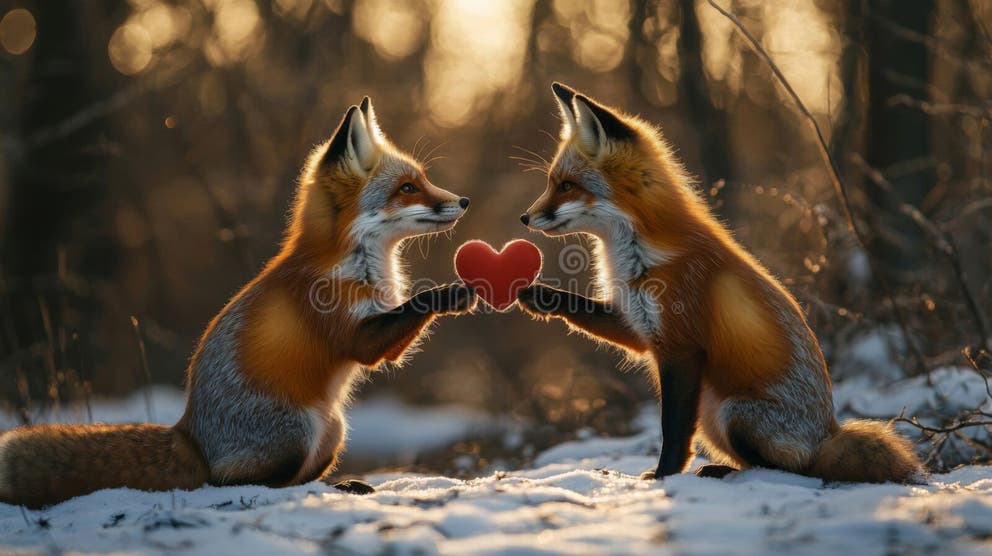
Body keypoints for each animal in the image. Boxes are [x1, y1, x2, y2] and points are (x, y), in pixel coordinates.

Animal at [0, 97, 476, 508]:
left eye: (422, 180)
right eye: (408, 187)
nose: (464, 200)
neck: (357, 263)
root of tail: (188, 434)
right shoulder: (350, 332)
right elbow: (409, 309)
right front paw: (451, 293)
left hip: (333, 430)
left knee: (297, 476)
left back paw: (341, 485)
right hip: (299, 431)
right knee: (233, 482)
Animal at [517, 82, 925, 484]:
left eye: (566, 186)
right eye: (552, 183)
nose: (525, 217)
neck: (635, 253)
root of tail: (828, 434)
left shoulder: (681, 346)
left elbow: (673, 430)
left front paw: (664, 476)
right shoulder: (642, 325)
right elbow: (584, 310)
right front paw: (539, 296)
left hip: (734, 414)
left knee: (793, 469)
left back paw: (726, 470)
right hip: (714, 417)